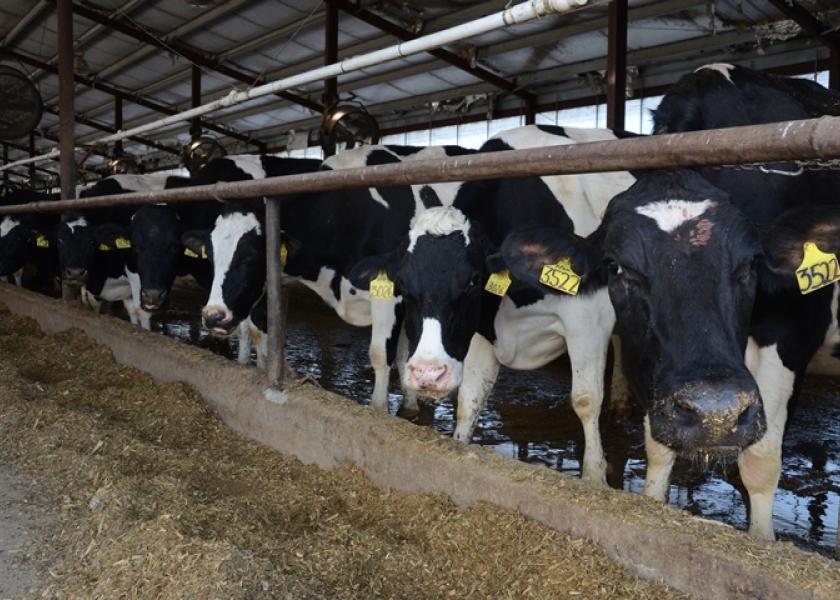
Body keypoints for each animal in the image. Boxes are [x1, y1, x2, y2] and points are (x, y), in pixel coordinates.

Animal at [182, 145, 475, 407]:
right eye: (210, 255)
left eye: (250, 256)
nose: (213, 316)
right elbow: (262, 331)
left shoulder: (389, 293)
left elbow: (381, 355)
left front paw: (379, 410)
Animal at [349, 125, 635, 486]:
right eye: (402, 283)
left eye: (473, 281)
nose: (429, 373)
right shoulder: (482, 330)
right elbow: (469, 400)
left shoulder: (588, 318)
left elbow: (586, 399)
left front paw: (595, 478)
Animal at [502, 64, 840, 539]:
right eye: (616, 267)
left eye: (752, 264)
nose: (715, 412)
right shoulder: (654, 364)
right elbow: (658, 448)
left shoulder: (791, 330)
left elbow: (759, 462)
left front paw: (762, 540)